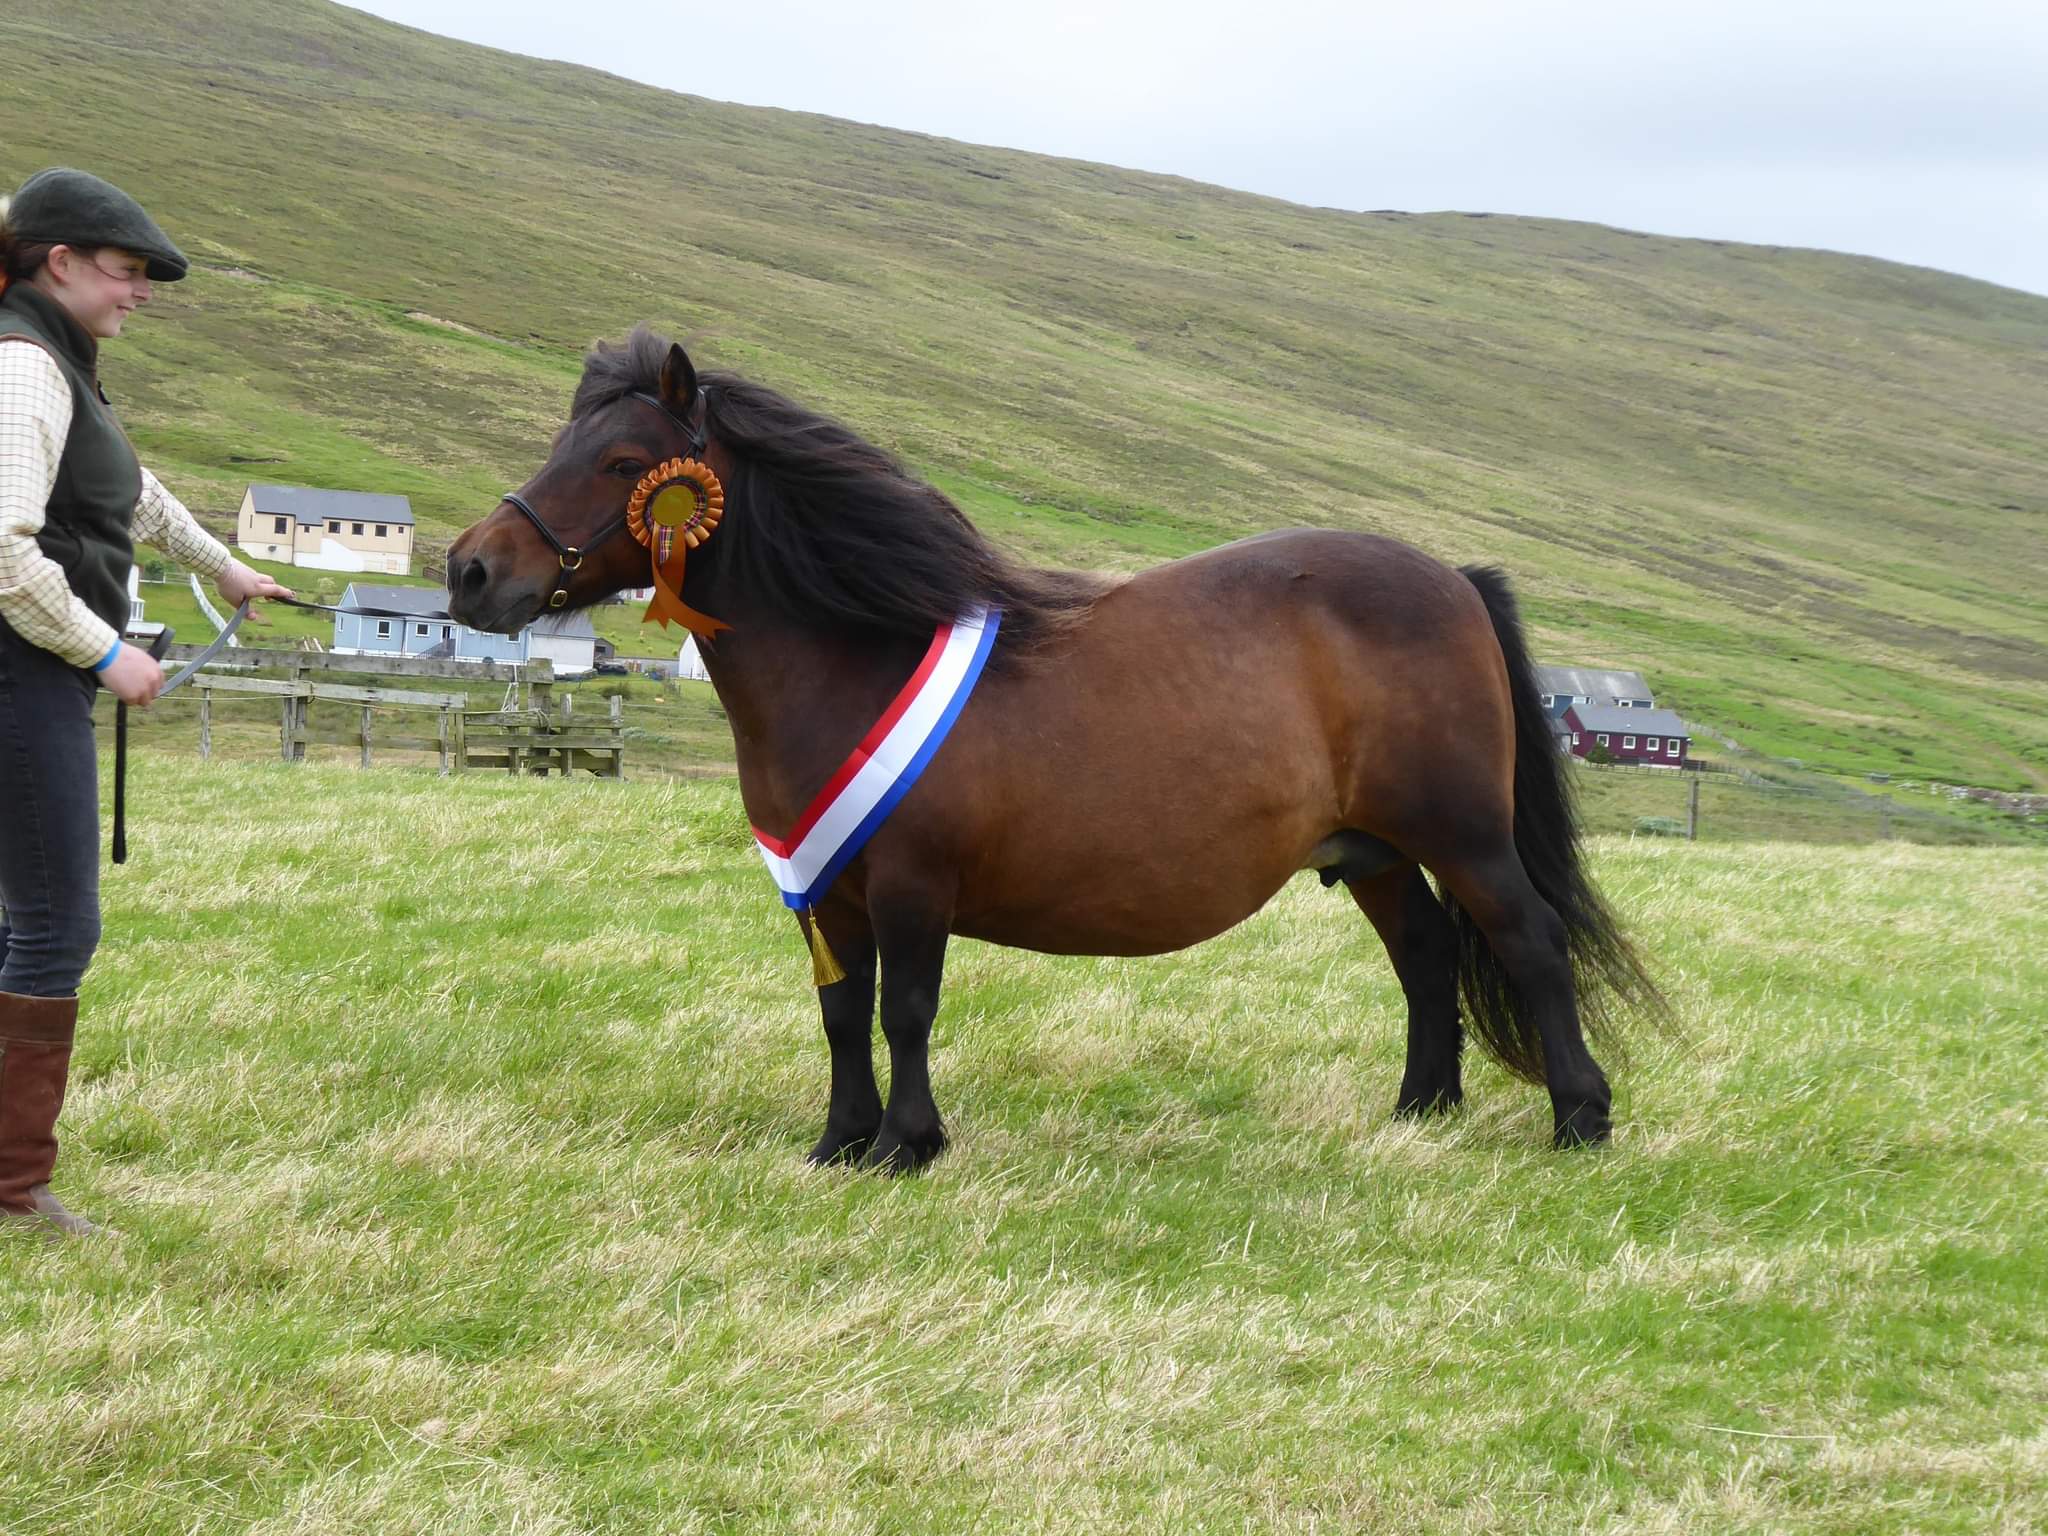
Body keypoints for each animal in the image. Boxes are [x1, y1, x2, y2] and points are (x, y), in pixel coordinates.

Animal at [446, 326, 1661, 1171]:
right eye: (564, 445)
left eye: (620, 463)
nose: (469, 570)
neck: (858, 657)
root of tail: (1450, 575)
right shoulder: (823, 892)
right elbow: (842, 1015)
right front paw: (839, 1144)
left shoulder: (911, 884)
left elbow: (904, 1008)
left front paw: (907, 1144)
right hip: (1371, 849)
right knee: (1422, 954)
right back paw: (1419, 1111)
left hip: (1463, 835)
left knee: (1527, 941)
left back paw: (1579, 1117)